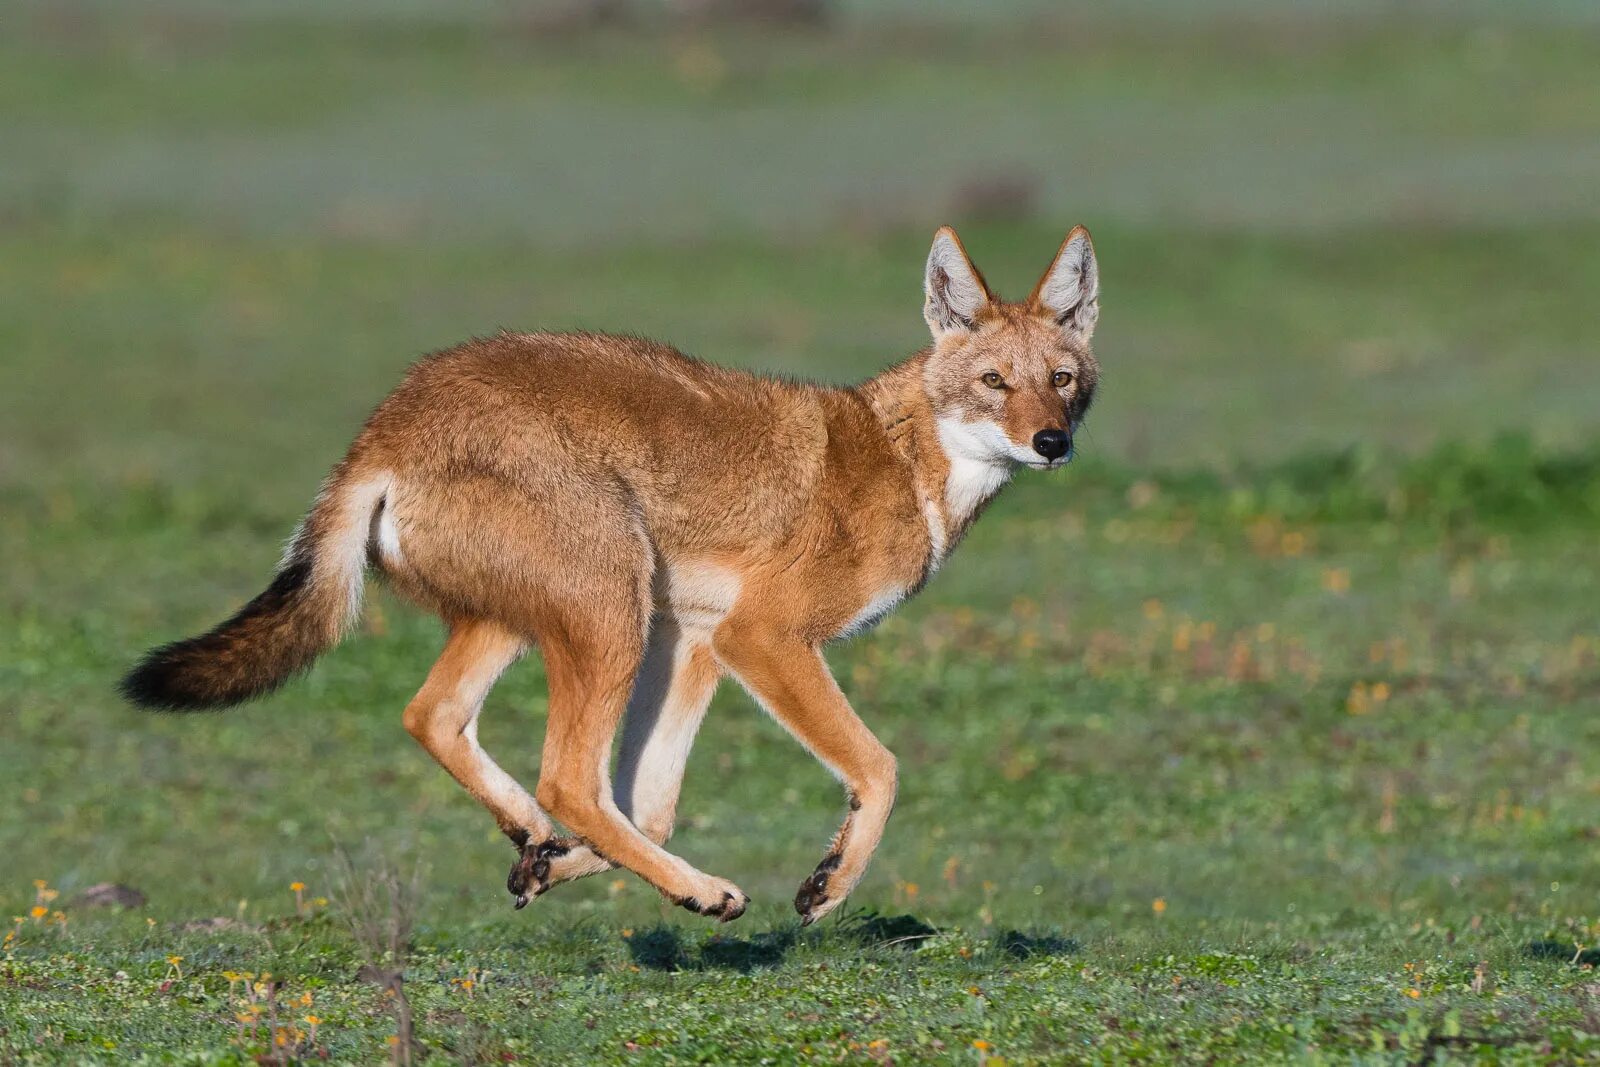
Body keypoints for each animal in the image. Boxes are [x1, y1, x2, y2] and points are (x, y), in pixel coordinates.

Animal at [120, 225, 1100, 925]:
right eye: (993, 381)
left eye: (1062, 379)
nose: (1053, 442)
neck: (904, 461)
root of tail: (385, 427)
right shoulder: (763, 638)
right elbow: (881, 768)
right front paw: (826, 884)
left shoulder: (698, 643)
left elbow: (650, 803)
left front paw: (547, 867)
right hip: (606, 610)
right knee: (565, 779)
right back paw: (695, 886)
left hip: (540, 627)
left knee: (441, 722)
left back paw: (540, 840)